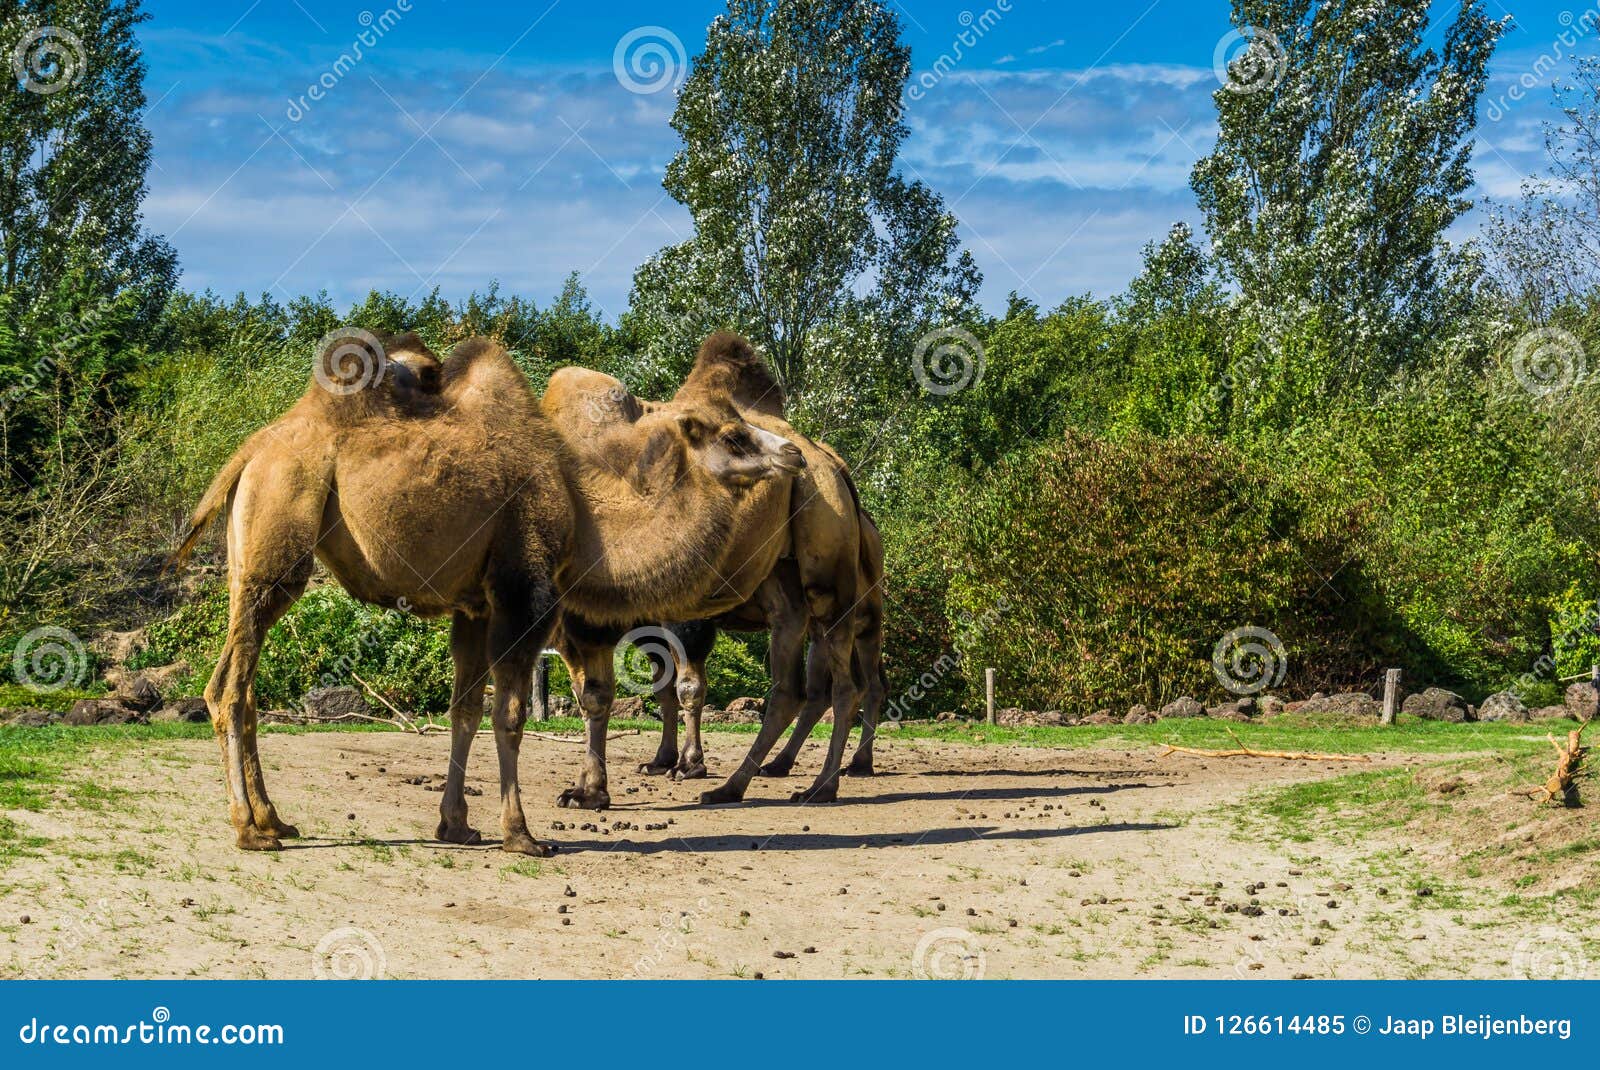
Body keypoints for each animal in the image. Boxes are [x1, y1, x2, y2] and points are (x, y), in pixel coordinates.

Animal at [174, 331, 803, 854]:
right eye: (735, 435)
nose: (793, 453)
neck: (585, 518)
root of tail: (251, 451)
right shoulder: (524, 593)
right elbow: (511, 714)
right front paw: (522, 835)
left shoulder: (475, 606)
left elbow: (466, 710)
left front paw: (457, 825)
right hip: (278, 534)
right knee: (230, 687)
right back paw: (250, 830)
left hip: (250, 554)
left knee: (235, 685)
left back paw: (274, 820)